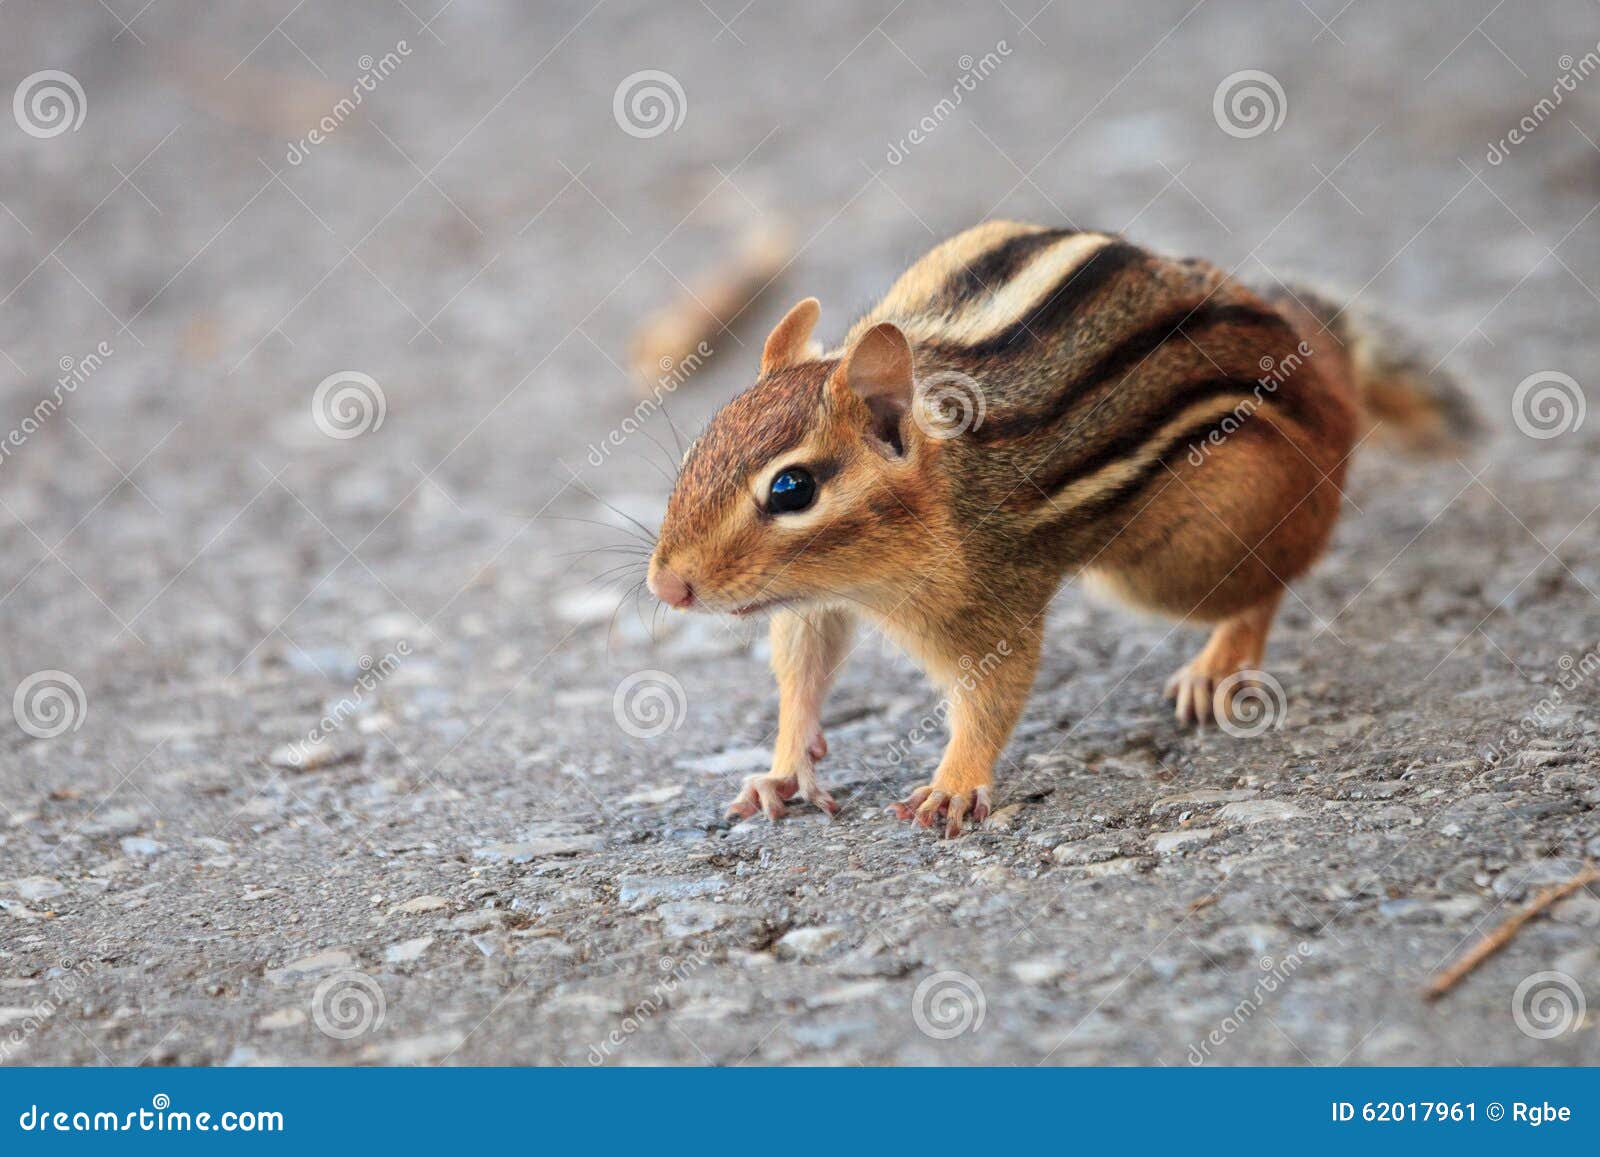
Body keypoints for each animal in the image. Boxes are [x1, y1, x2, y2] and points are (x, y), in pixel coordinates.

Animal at [645, 221, 1478, 837]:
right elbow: (801, 674)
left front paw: (954, 784)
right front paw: (782, 769)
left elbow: (994, 691)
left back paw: (1220, 663)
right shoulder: (814, 604)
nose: (666, 586)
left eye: (792, 488)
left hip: (1174, 559)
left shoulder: (990, 597)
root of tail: (1326, 387)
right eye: (696, 449)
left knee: (1268, 580)